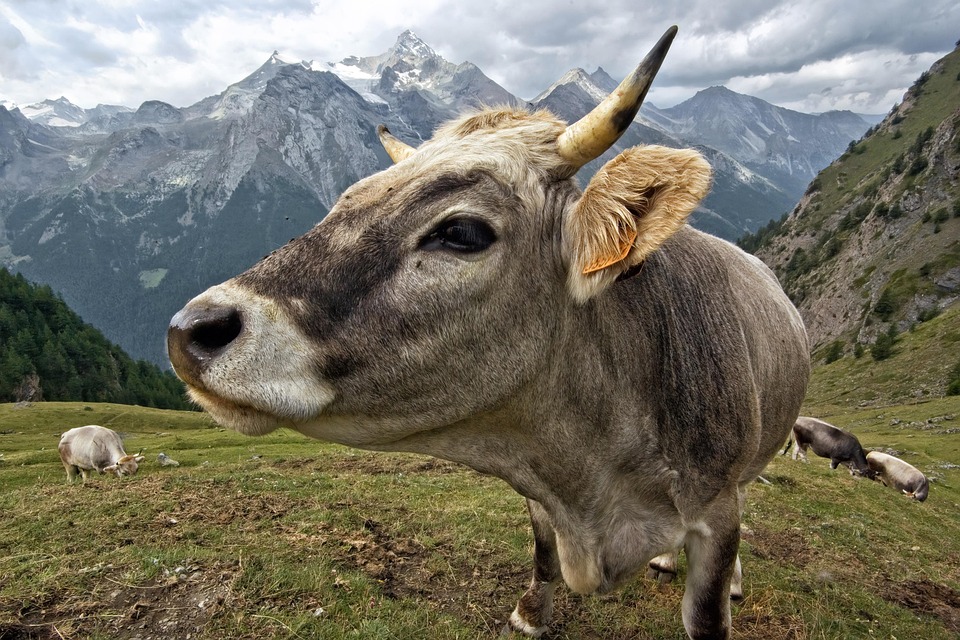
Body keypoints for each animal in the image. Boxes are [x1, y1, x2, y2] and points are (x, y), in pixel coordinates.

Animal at [166, 26, 810, 640]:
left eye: (462, 232)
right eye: (345, 199)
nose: (191, 329)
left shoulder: (716, 510)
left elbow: (706, 614)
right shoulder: (538, 486)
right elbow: (542, 554)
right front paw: (530, 612)